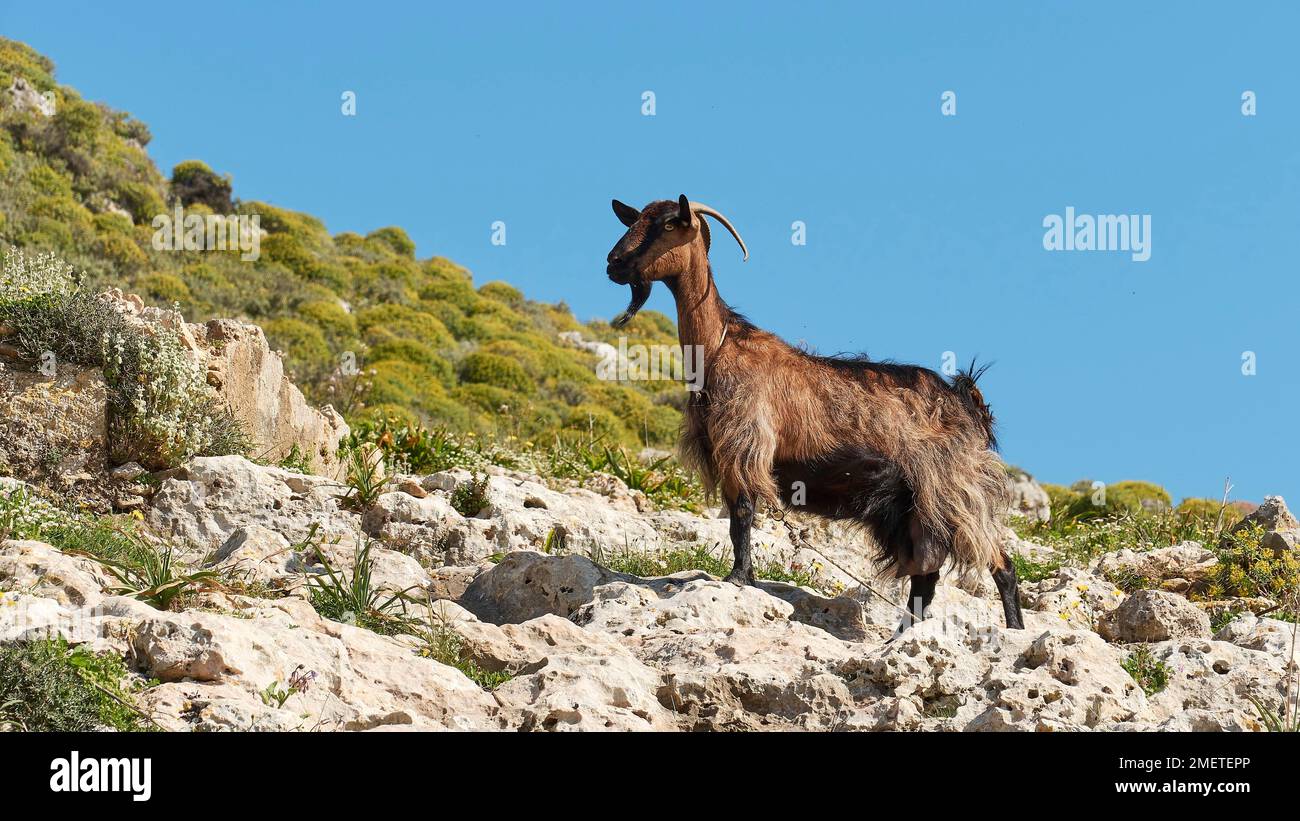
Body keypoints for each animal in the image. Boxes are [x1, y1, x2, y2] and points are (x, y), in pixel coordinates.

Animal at [604, 194, 1024, 629]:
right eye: (636, 220)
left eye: (670, 224)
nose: (613, 264)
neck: (718, 346)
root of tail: (968, 402)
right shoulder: (725, 453)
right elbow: (738, 517)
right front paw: (746, 577)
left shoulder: (745, 443)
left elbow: (743, 515)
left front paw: (737, 579)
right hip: (917, 509)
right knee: (926, 577)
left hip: (955, 490)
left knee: (1001, 565)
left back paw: (1012, 631)